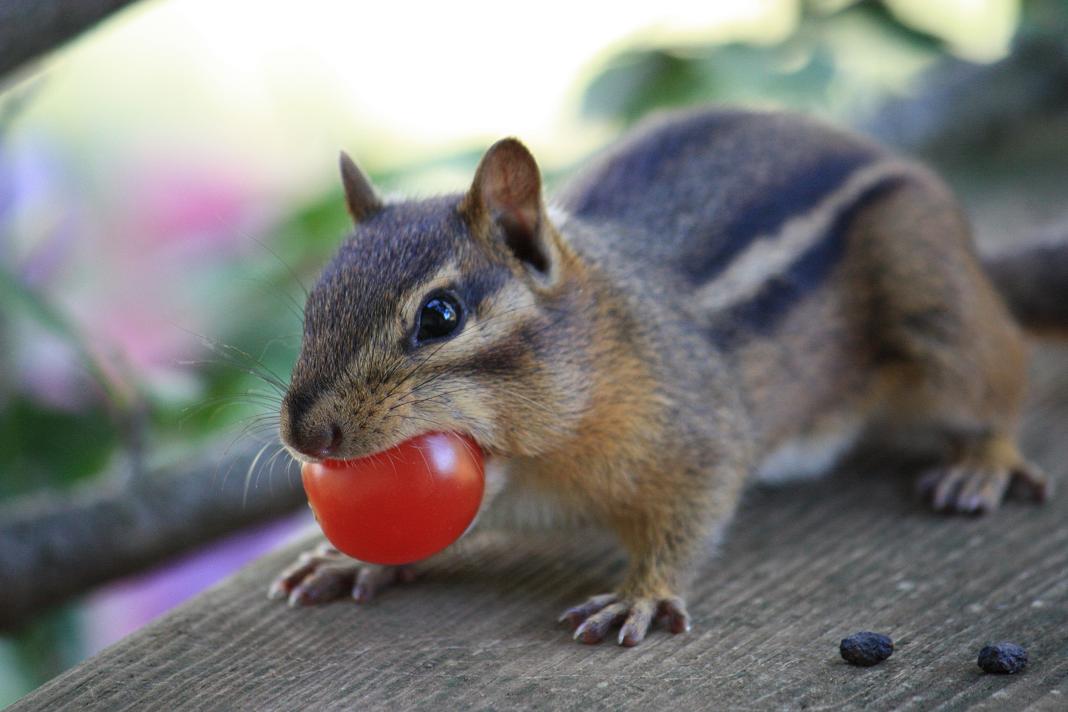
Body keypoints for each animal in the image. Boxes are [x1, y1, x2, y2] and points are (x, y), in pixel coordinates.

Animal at [267, 107, 1068, 646]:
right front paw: (354, 560)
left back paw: (983, 461)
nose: (306, 434)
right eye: (313, 304)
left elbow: (689, 517)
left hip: (937, 311)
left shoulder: (697, 433)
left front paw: (642, 596)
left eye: (440, 315)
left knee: (1000, 381)